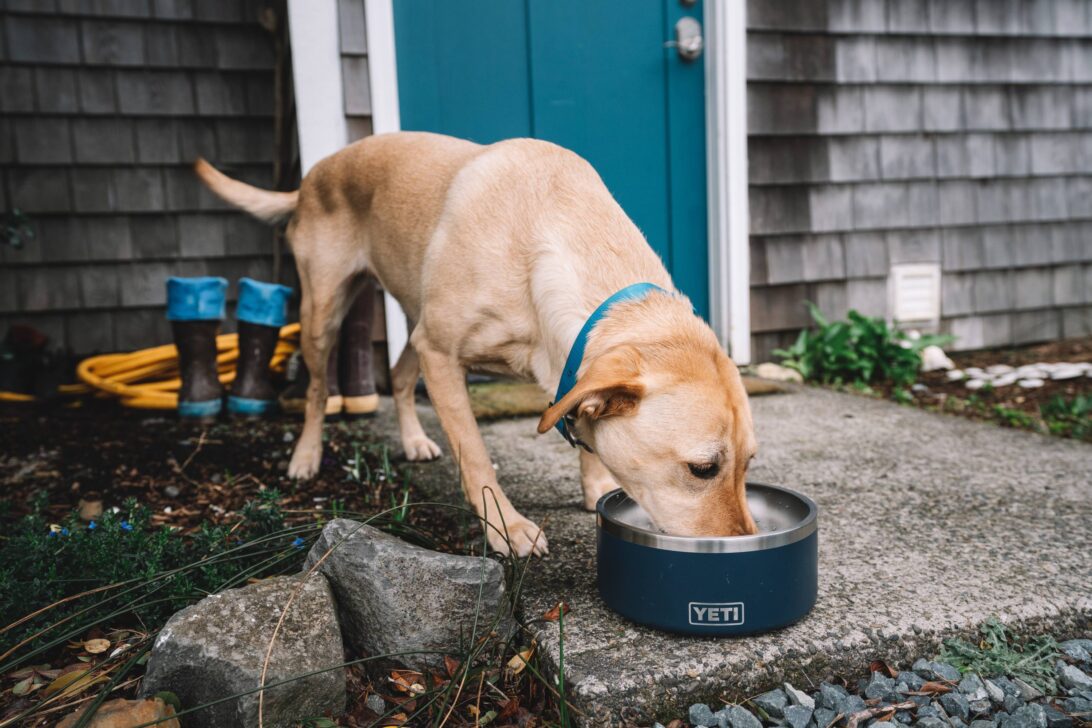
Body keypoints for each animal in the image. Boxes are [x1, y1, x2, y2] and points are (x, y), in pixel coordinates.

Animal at [196, 132, 755, 558]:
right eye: (703, 469)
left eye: (749, 464)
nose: (742, 544)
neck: (549, 234)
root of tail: (314, 174)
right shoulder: (443, 356)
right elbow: (477, 458)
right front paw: (506, 527)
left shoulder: (560, 367)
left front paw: (596, 486)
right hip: (324, 312)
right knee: (316, 390)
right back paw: (306, 456)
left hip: (414, 321)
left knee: (399, 376)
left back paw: (413, 440)